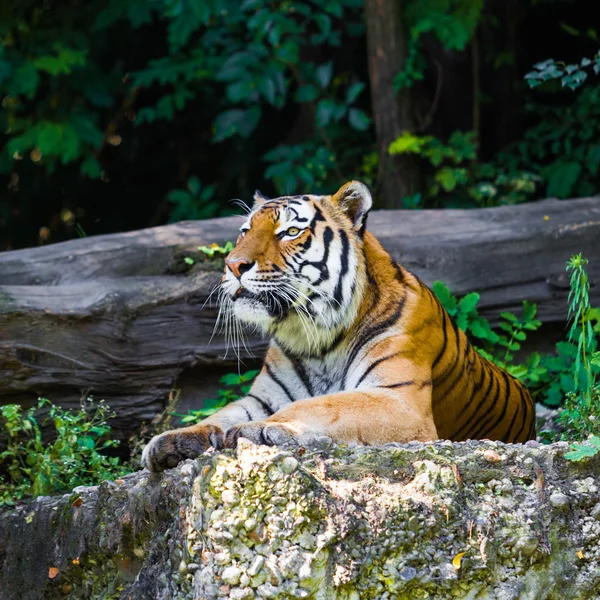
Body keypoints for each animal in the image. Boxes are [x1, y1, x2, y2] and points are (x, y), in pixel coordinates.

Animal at [143, 180, 536, 472]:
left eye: (290, 231)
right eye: (244, 231)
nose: (233, 265)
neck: (317, 339)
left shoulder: (399, 400)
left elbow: (320, 406)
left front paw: (258, 430)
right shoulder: (263, 397)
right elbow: (222, 413)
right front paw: (172, 440)